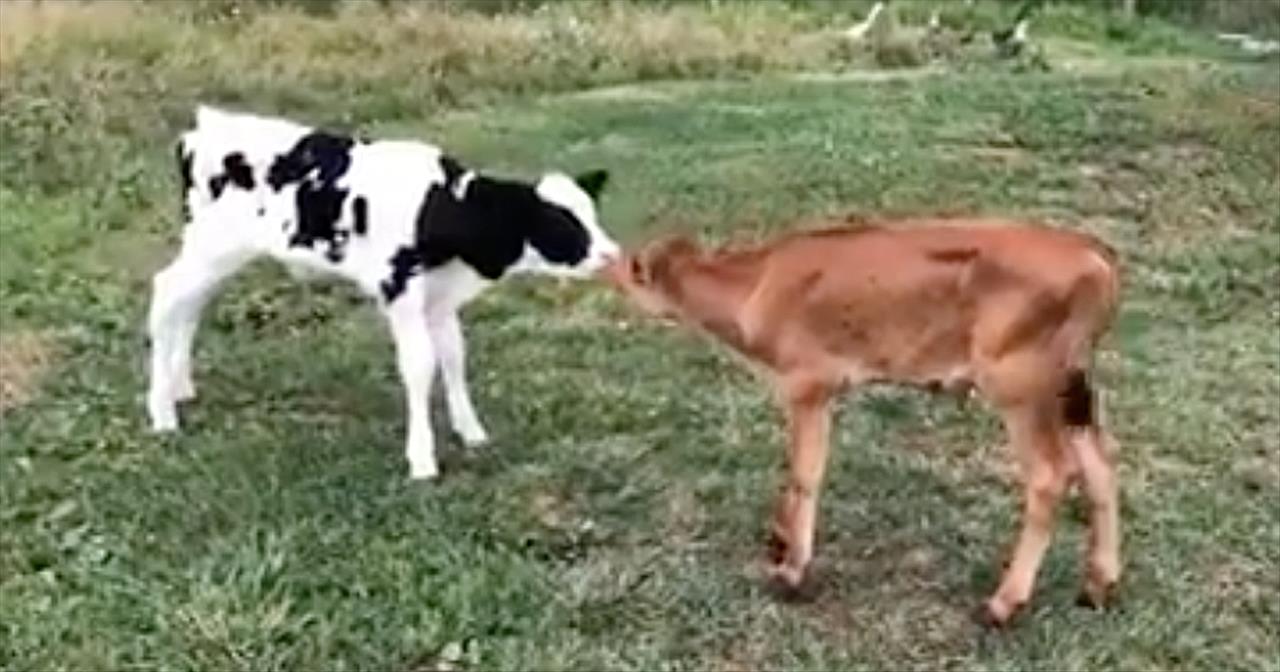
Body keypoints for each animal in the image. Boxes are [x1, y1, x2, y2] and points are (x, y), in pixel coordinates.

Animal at [147, 105, 620, 480]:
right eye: (560, 221)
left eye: (592, 212)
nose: (612, 255)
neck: (440, 206)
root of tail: (207, 124)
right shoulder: (400, 288)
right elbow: (419, 366)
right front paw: (423, 460)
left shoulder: (440, 295)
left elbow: (454, 356)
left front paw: (472, 432)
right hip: (214, 245)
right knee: (167, 295)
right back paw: (162, 412)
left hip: (215, 254)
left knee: (190, 305)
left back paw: (179, 386)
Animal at [604, 214, 1122, 626]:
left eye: (632, 271)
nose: (609, 266)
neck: (755, 286)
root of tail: (1092, 253)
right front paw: (778, 541)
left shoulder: (809, 386)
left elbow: (805, 473)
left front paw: (791, 571)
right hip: (1074, 389)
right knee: (1101, 466)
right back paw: (1098, 588)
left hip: (1019, 388)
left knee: (1050, 476)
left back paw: (1002, 604)